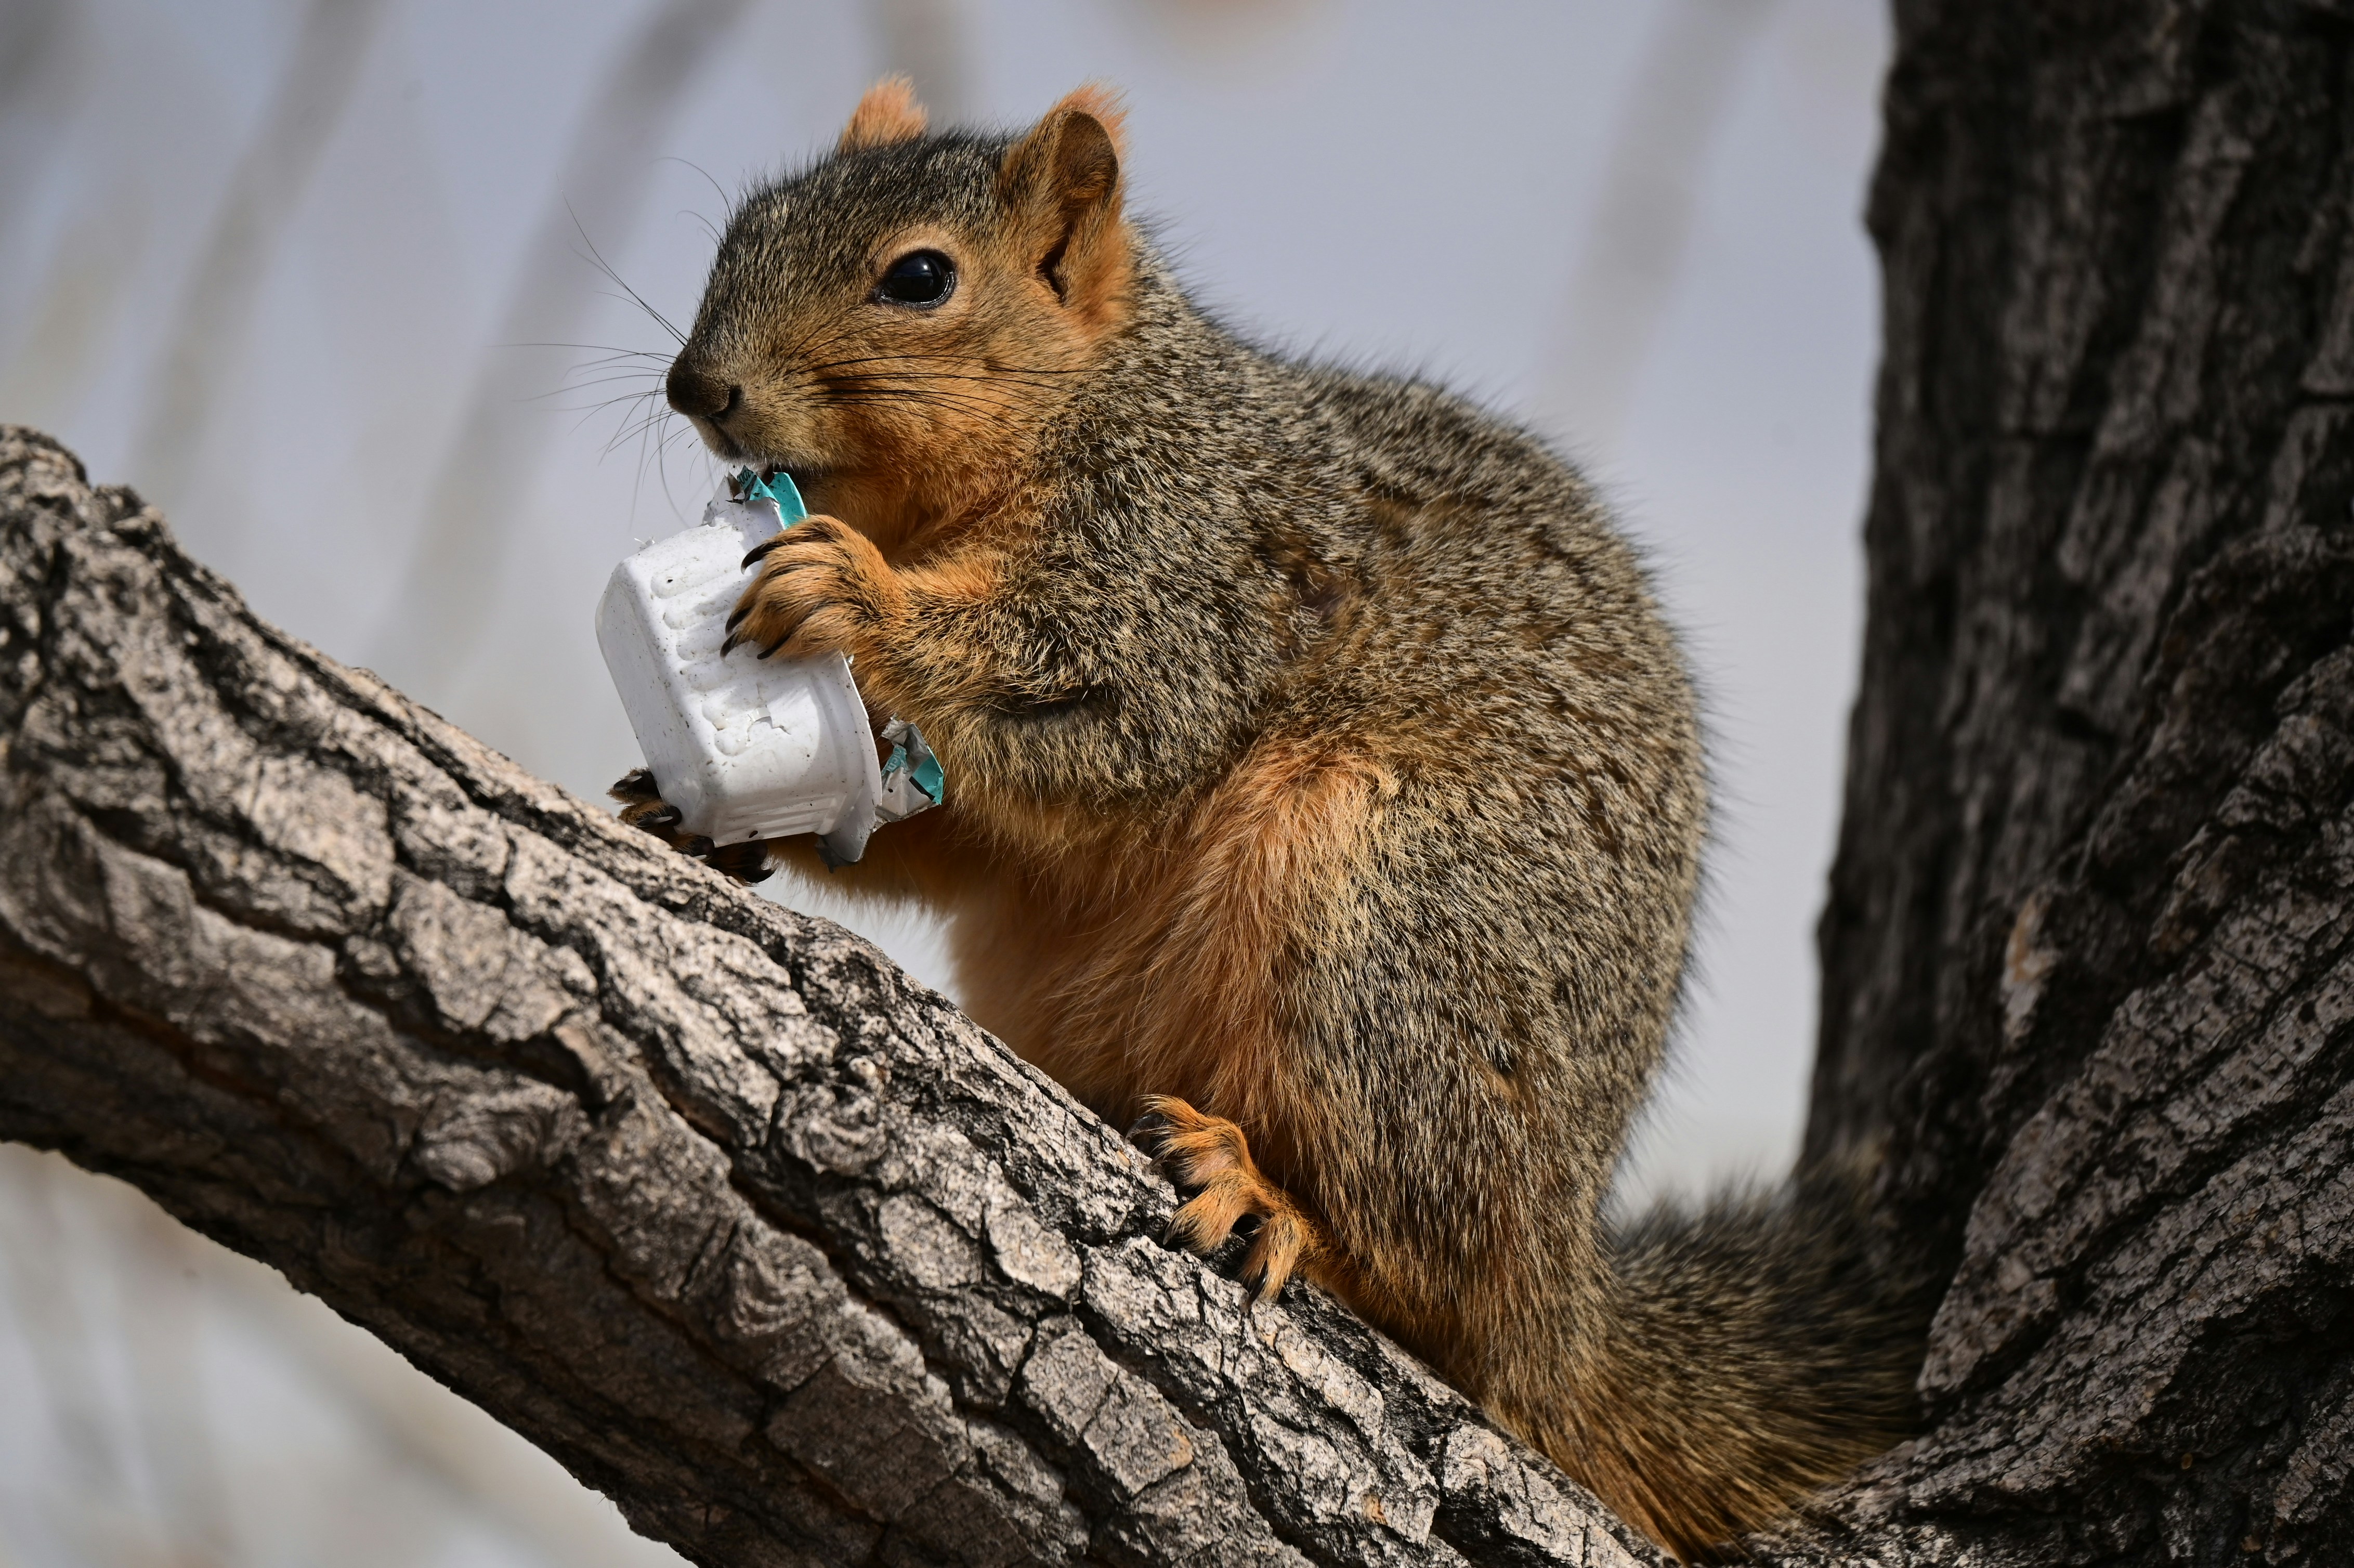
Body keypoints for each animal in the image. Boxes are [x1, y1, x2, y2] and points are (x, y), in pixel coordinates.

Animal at [612, 77, 1932, 1559]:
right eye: (744, 226)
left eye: (918, 279)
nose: (697, 386)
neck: (1084, 412)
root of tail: (1561, 1292)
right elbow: (950, 838)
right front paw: (703, 808)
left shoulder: (1186, 588)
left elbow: (1099, 710)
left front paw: (857, 600)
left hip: (1386, 916)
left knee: (1428, 1277)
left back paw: (1269, 1197)